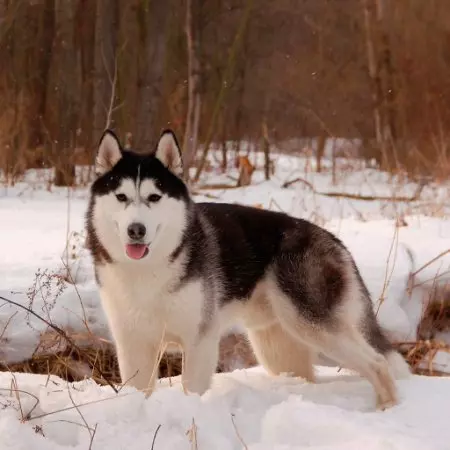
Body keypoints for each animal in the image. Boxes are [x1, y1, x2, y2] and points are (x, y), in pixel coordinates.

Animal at [85, 129, 412, 412]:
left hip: (313, 325)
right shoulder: (133, 343)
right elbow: (138, 389)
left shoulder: (200, 341)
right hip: (277, 348)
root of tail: (333, 240)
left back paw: (387, 408)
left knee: (378, 363)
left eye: (154, 197)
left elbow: (193, 389)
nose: (136, 230)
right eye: (121, 197)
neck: (148, 270)